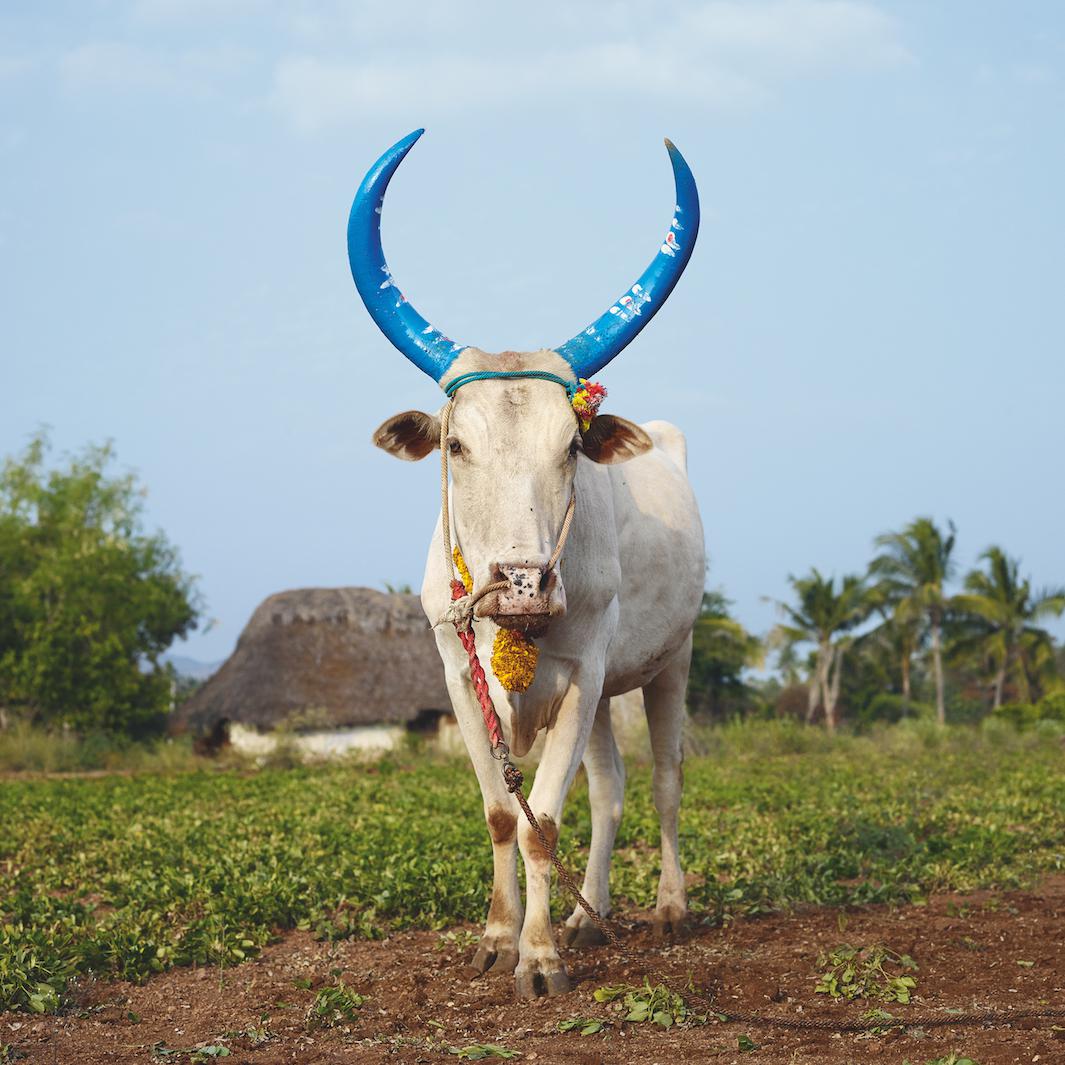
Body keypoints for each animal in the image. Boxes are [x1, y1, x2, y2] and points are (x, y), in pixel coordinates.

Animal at [348, 130, 705, 999]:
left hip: (669, 658)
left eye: (570, 445)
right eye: (454, 443)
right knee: (610, 789)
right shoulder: (456, 671)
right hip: (610, 688)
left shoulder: (583, 671)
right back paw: (589, 914)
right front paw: (497, 936)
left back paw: (666, 907)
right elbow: (505, 814)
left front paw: (538, 956)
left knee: (663, 780)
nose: (519, 586)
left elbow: (544, 820)